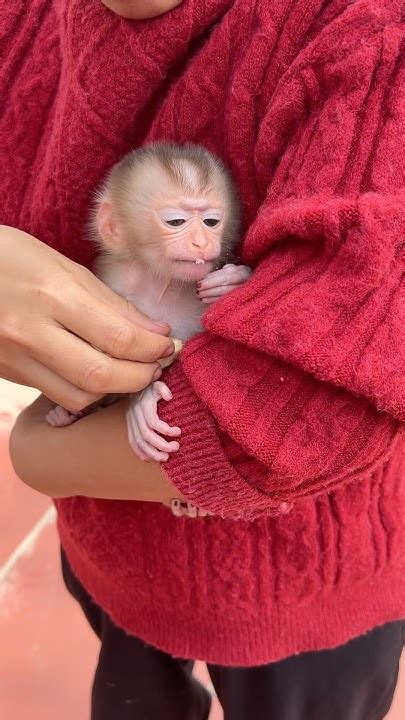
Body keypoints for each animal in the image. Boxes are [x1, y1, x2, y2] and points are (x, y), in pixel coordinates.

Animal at [46, 143, 252, 462]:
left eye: (211, 222)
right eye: (176, 221)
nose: (201, 242)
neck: (161, 285)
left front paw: (231, 280)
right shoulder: (114, 282)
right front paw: (140, 403)